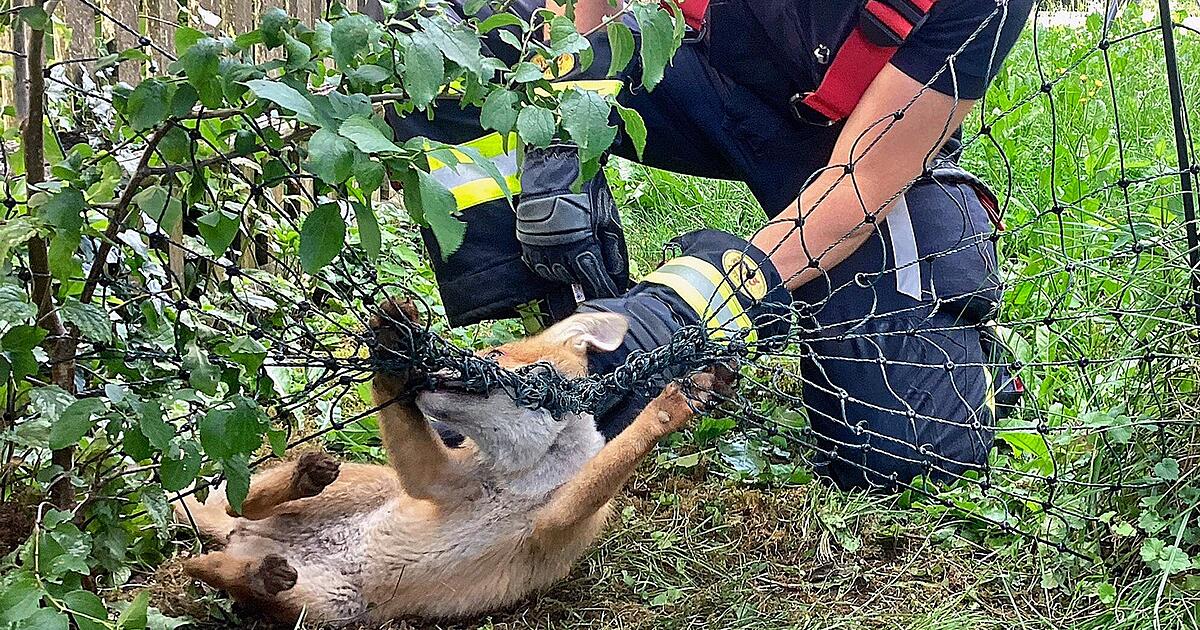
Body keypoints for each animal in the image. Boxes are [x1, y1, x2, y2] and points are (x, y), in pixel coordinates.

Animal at [174, 299, 731, 626]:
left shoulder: (557, 522)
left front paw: (675, 401)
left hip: (329, 606)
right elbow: (396, 404)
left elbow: (616, 455)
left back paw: (252, 570)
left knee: (208, 565)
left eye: (496, 353)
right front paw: (390, 344)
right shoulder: (436, 482)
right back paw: (299, 480)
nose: (428, 370)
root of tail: (248, 542)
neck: (523, 475)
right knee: (239, 507)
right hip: (356, 496)